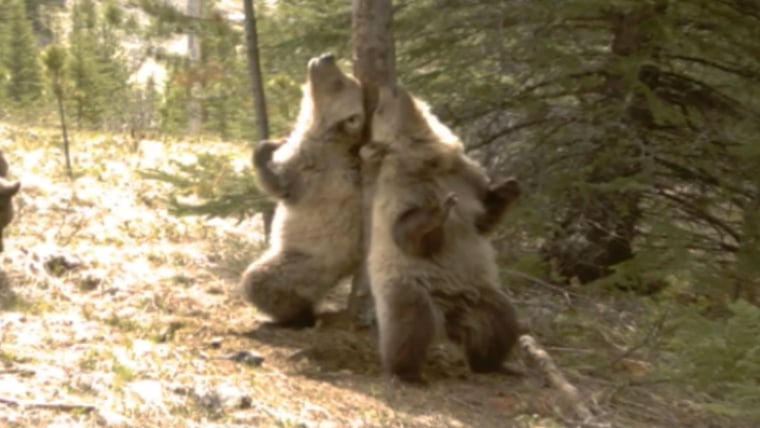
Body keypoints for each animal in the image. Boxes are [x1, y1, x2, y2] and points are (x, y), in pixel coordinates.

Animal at [240, 54, 365, 329]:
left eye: (340, 83)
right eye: (348, 78)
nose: (327, 57)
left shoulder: (310, 170)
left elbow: (278, 185)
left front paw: (265, 149)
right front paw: (275, 141)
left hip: (304, 263)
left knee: (260, 278)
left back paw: (292, 316)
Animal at [362, 86, 520, 383]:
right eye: (378, 109)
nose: (389, 87)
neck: (430, 160)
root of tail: (450, 315)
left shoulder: (466, 177)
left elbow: (483, 218)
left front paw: (509, 185)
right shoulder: (399, 189)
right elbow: (405, 230)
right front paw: (439, 209)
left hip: (480, 294)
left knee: (501, 320)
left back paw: (496, 364)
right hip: (409, 287)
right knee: (410, 323)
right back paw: (408, 373)